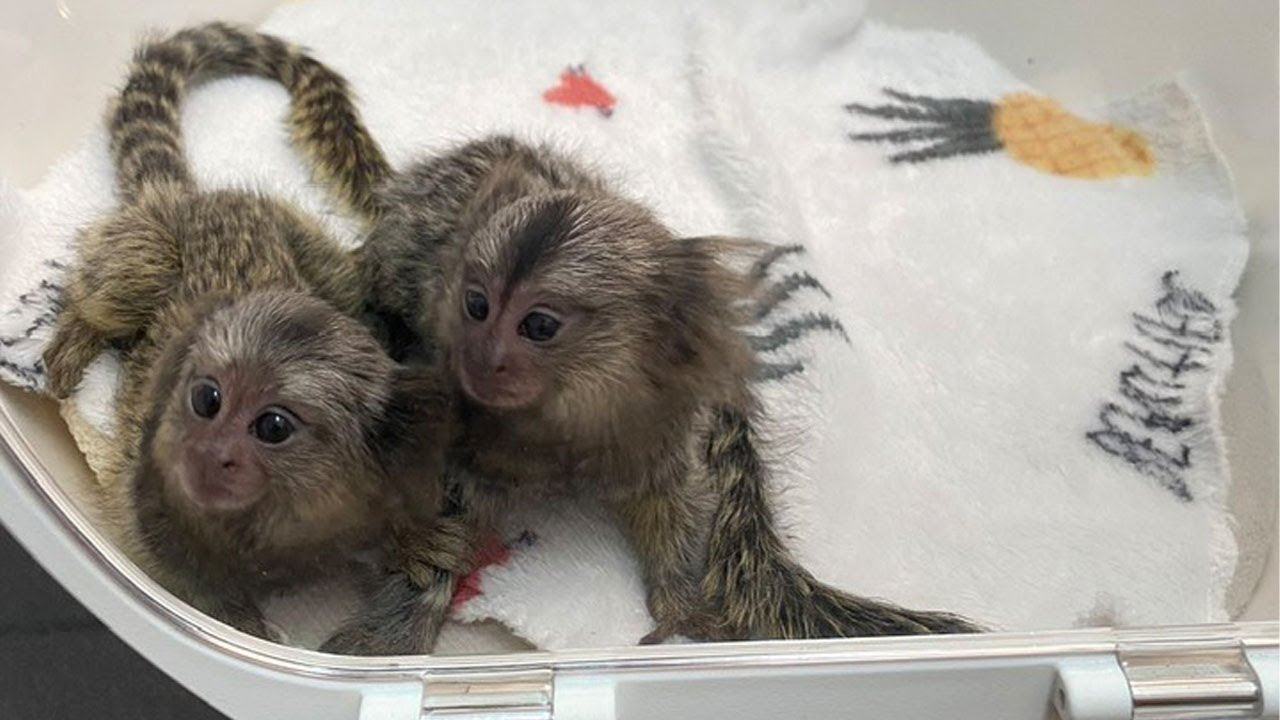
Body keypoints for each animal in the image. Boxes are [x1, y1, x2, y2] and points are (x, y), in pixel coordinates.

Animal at [40, 23, 457, 640]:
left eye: (274, 426)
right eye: (207, 400)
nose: (214, 454)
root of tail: (195, 198)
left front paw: (419, 542)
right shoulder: (155, 499)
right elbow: (175, 569)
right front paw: (242, 626)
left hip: (309, 246)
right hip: (145, 248)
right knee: (110, 286)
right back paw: (75, 335)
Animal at [294, 134, 981, 654]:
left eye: (538, 326)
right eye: (476, 306)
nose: (479, 356)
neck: (566, 417)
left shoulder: (659, 429)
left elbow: (669, 504)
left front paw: (678, 602)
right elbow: (442, 517)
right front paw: (395, 628)